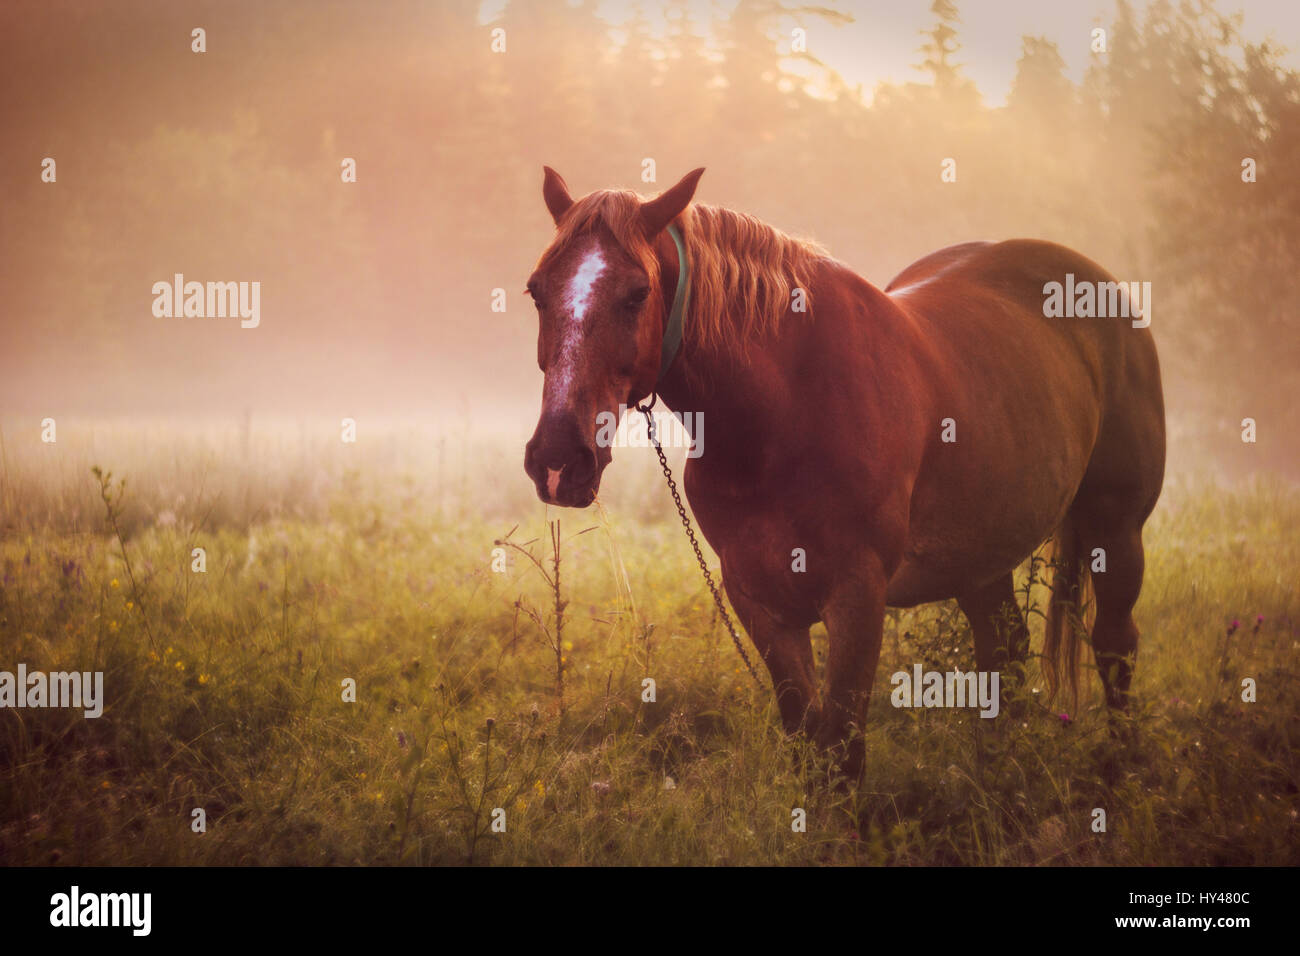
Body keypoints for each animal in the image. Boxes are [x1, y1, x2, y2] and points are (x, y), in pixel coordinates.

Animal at [522, 166, 1166, 777]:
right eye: (535, 292)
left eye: (637, 294)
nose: (558, 460)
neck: (783, 414)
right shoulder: (761, 604)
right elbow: (807, 738)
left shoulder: (857, 598)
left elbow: (843, 751)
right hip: (982, 554)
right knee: (1003, 651)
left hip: (1116, 532)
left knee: (1115, 647)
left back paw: (1121, 767)